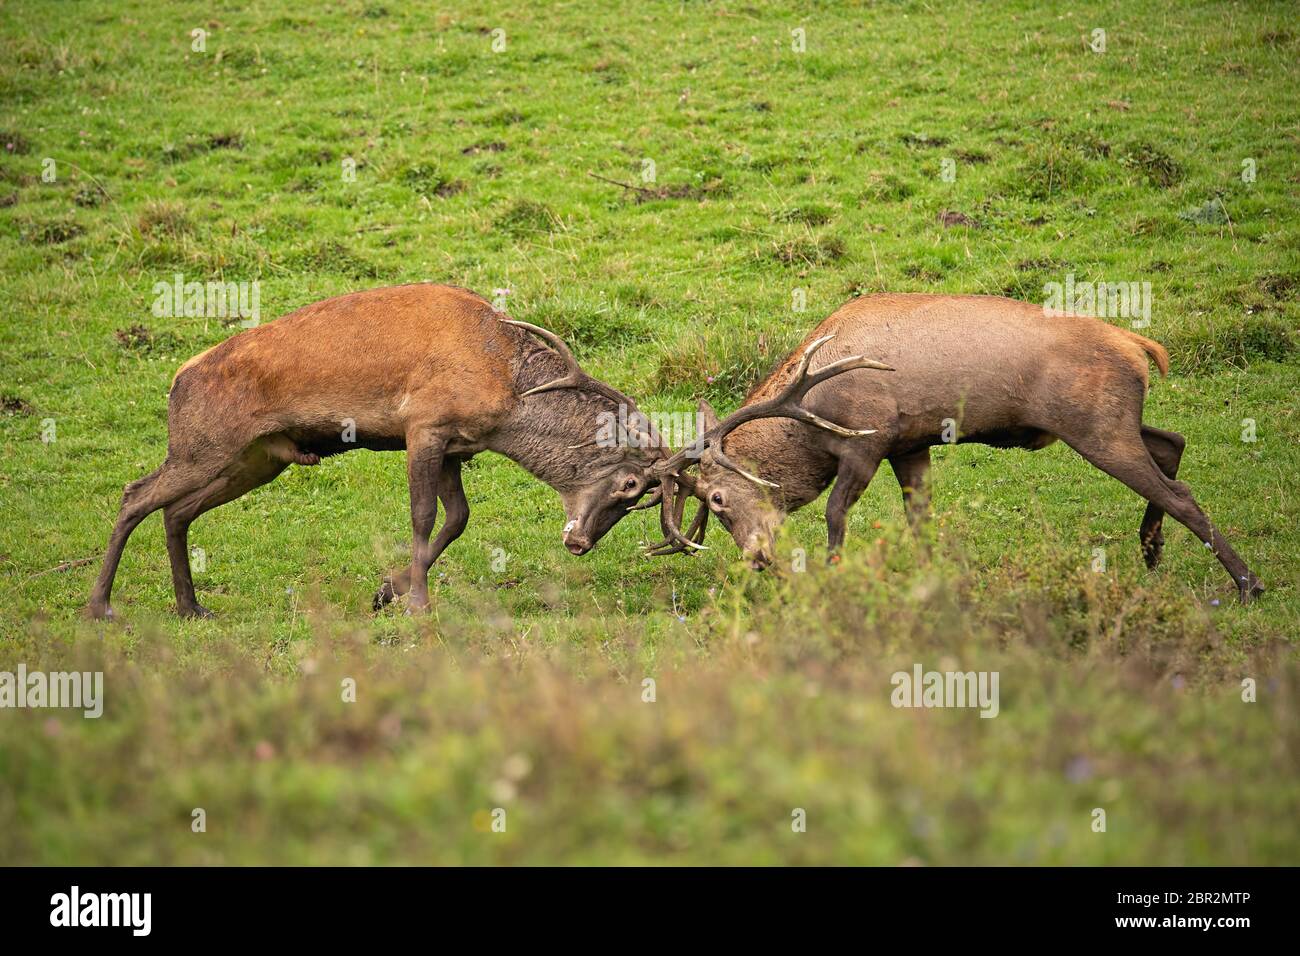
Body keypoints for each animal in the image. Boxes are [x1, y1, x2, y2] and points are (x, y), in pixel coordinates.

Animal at [87, 283, 670, 620]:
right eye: (630, 486)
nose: (581, 543)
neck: (505, 386)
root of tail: (177, 379)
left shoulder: (456, 445)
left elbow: (458, 517)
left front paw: (387, 591)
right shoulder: (424, 427)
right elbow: (424, 514)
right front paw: (417, 603)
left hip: (254, 461)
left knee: (176, 510)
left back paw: (190, 606)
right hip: (202, 447)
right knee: (135, 494)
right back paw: (100, 607)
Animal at [649, 293, 1265, 605]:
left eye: (718, 500)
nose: (757, 559)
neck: (811, 421)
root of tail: (1141, 346)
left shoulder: (869, 439)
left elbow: (835, 514)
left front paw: (832, 576)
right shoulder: (910, 445)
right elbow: (920, 518)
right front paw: (934, 580)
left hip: (1094, 425)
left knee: (1182, 491)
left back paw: (1248, 583)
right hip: (1112, 422)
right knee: (1172, 443)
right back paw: (1151, 547)